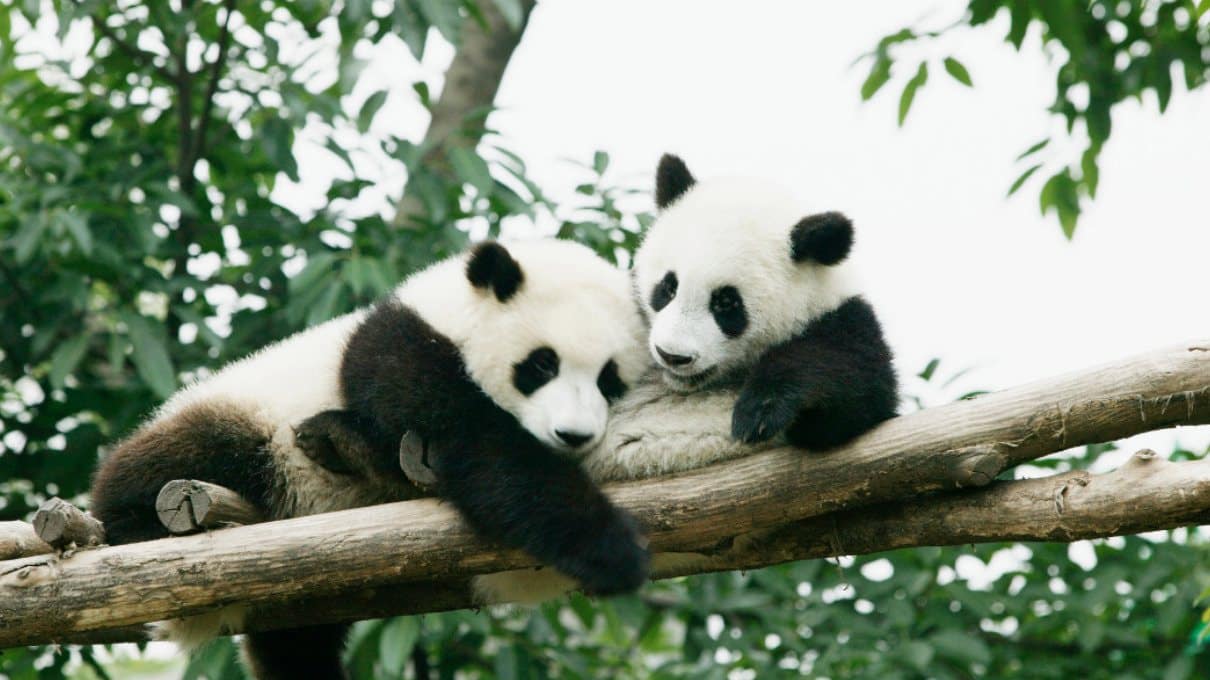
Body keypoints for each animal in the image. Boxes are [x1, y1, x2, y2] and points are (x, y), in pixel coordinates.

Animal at [88, 239, 652, 680]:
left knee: (295, 643)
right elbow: (482, 449)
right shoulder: (399, 352)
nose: (573, 435)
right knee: (168, 463)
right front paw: (611, 549)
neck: (450, 313)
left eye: (609, 379)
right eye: (541, 365)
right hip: (245, 425)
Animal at [473, 154, 899, 603]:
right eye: (667, 287)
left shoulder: (843, 321)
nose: (672, 355)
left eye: (726, 303)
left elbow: (854, 394)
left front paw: (761, 409)